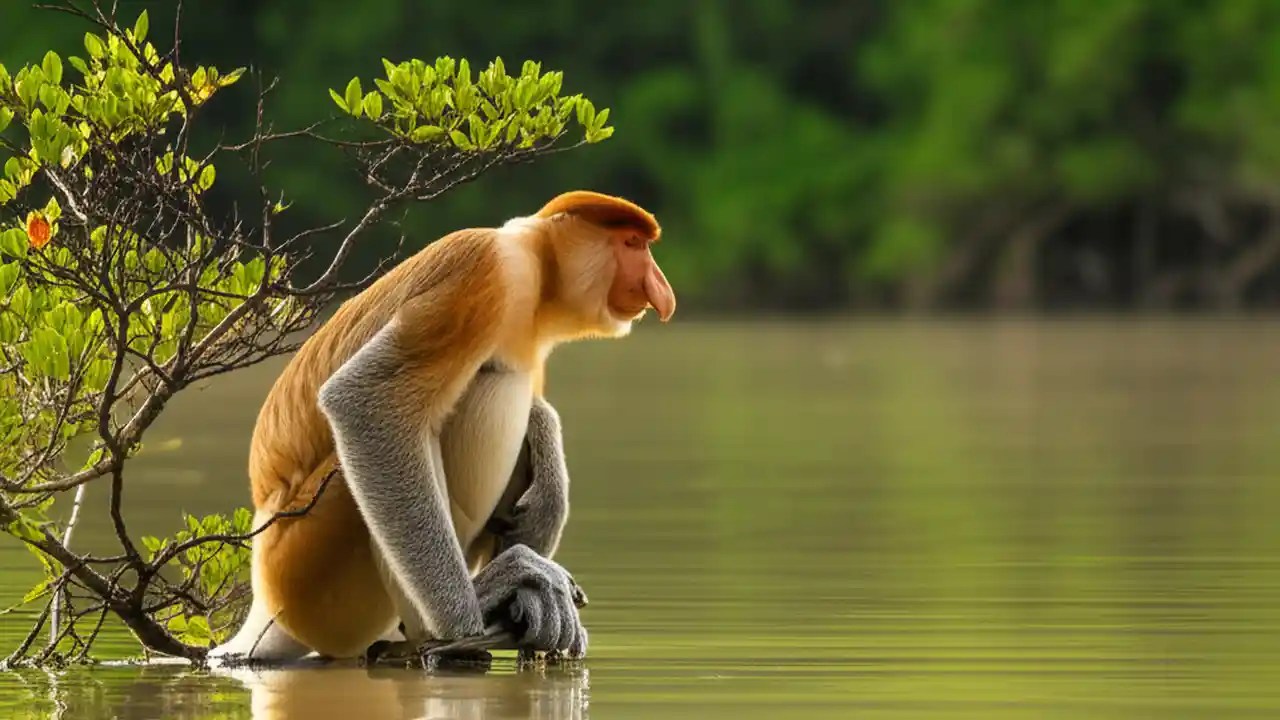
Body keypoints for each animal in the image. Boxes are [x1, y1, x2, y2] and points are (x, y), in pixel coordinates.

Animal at [208, 190, 675, 664]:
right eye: (632, 243)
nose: (662, 292)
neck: (536, 267)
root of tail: (266, 606)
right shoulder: (484, 271)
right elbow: (363, 400)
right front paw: (467, 615)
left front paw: (549, 482)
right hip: (313, 562)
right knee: (477, 395)